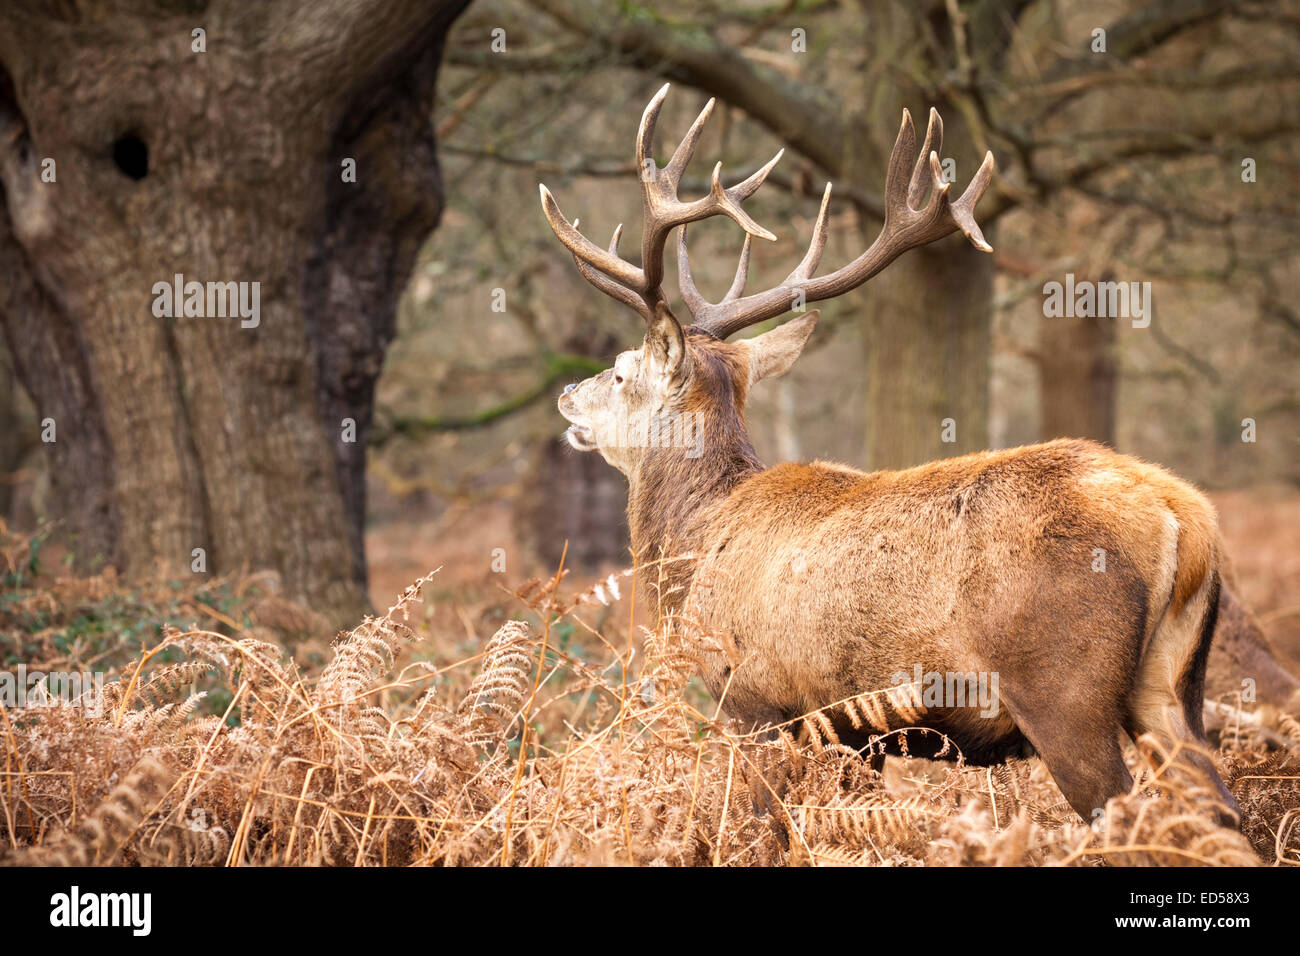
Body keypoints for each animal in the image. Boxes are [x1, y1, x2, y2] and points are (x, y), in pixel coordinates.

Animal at [538, 84, 1240, 828]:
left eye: (621, 371)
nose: (566, 394)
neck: (696, 547)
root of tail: (1185, 518)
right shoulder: (853, 736)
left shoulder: (755, 700)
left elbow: (767, 828)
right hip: (1170, 686)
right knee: (1219, 806)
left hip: (1063, 689)